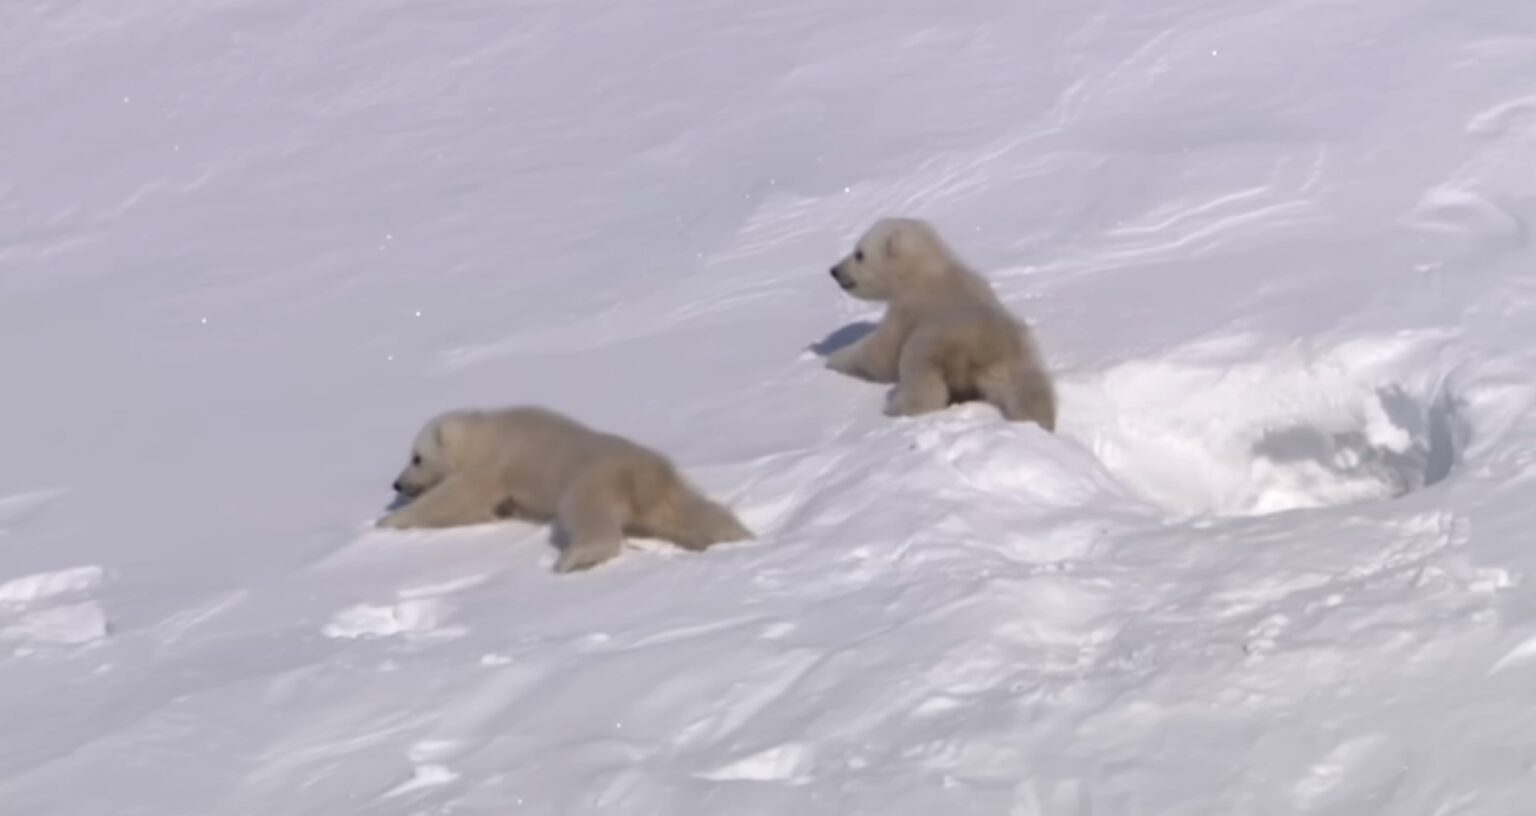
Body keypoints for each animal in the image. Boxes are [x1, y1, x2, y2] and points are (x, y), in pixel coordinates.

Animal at [377, 406, 754, 573]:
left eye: (416, 457)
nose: (397, 483)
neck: (483, 433)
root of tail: (642, 475)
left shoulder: (496, 463)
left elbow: (459, 498)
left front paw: (388, 522)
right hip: (667, 492)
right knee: (696, 511)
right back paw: (736, 535)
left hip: (590, 481)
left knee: (587, 517)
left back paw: (576, 558)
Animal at [823, 217, 1056, 430]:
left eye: (859, 254)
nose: (834, 270)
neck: (926, 269)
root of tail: (976, 350)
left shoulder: (906, 309)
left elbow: (881, 355)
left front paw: (834, 358)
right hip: (1011, 360)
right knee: (1032, 390)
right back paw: (1041, 419)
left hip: (931, 348)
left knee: (922, 386)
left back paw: (896, 406)